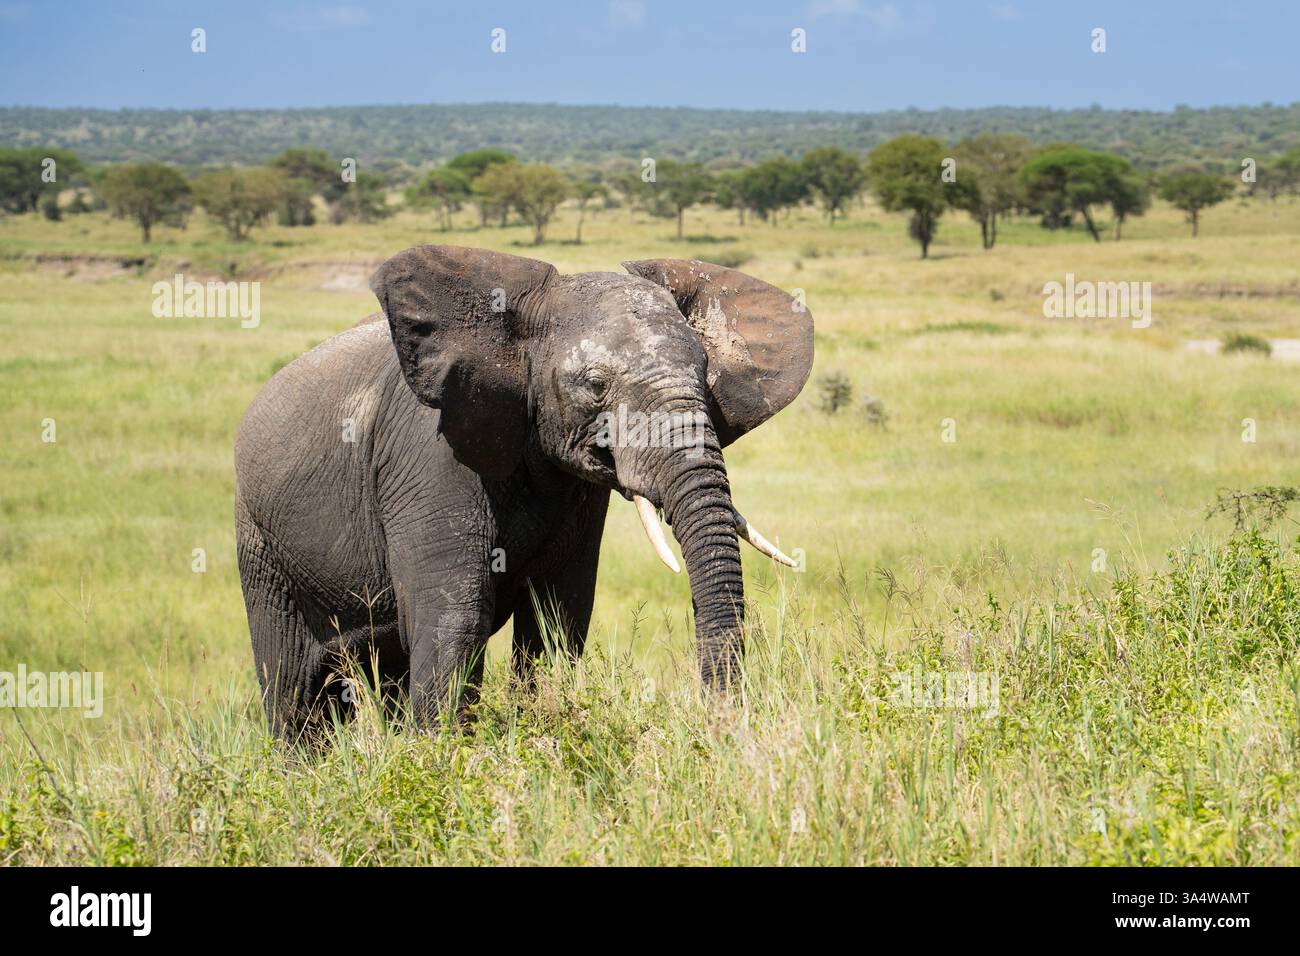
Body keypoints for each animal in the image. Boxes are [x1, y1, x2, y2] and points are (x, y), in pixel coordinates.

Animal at [234, 245, 813, 742]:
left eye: (706, 374)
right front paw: (443, 762)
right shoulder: (430, 458)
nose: (719, 724)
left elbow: (559, 614)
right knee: (294, 688)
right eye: (594, 386)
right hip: (258, 539)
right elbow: (455, 615)